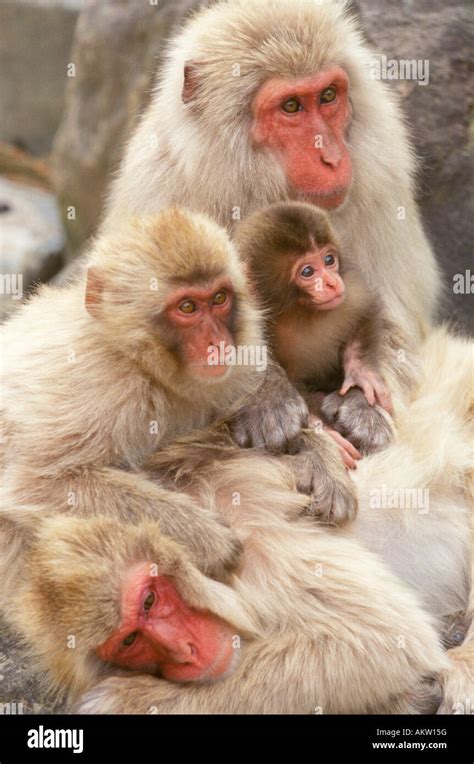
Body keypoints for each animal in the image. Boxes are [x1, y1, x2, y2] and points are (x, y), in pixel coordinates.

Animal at [235, 202, 396, 468]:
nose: (332, 282)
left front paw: (360, 373)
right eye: (308, 271)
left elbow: (367, 309)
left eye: (329, 259)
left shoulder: (348, 294)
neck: (299, 312)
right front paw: (324, 431)